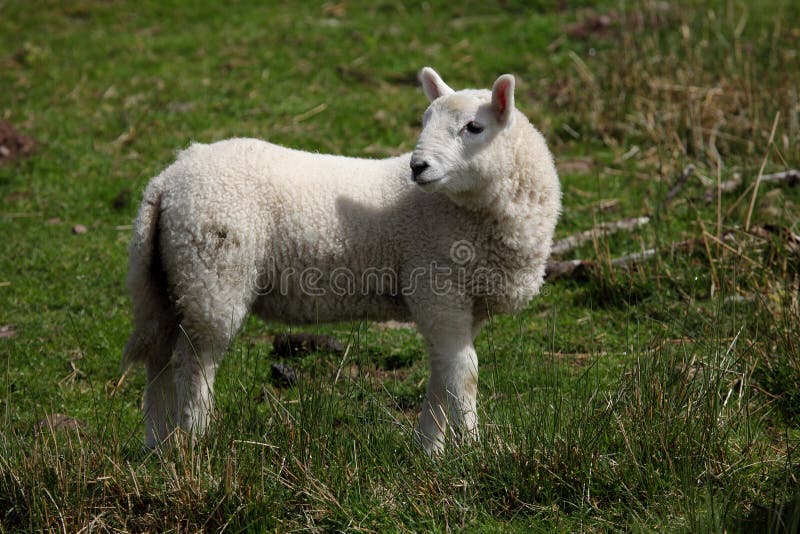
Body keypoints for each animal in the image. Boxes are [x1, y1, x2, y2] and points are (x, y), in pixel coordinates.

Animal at [123, 67, 561, 454]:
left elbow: (444, 375)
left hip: (168, 280)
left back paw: (158, 442)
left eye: (474, 127)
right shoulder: (436, 287)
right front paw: (472, 449)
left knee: (159, 359)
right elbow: (464, 374)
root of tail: (166, 180)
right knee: (193, 363)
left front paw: (429, 450)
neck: (459, 209)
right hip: (211, 278)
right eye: (424, 120)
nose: (417, 166)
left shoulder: (459, 305)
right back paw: (194, 439)